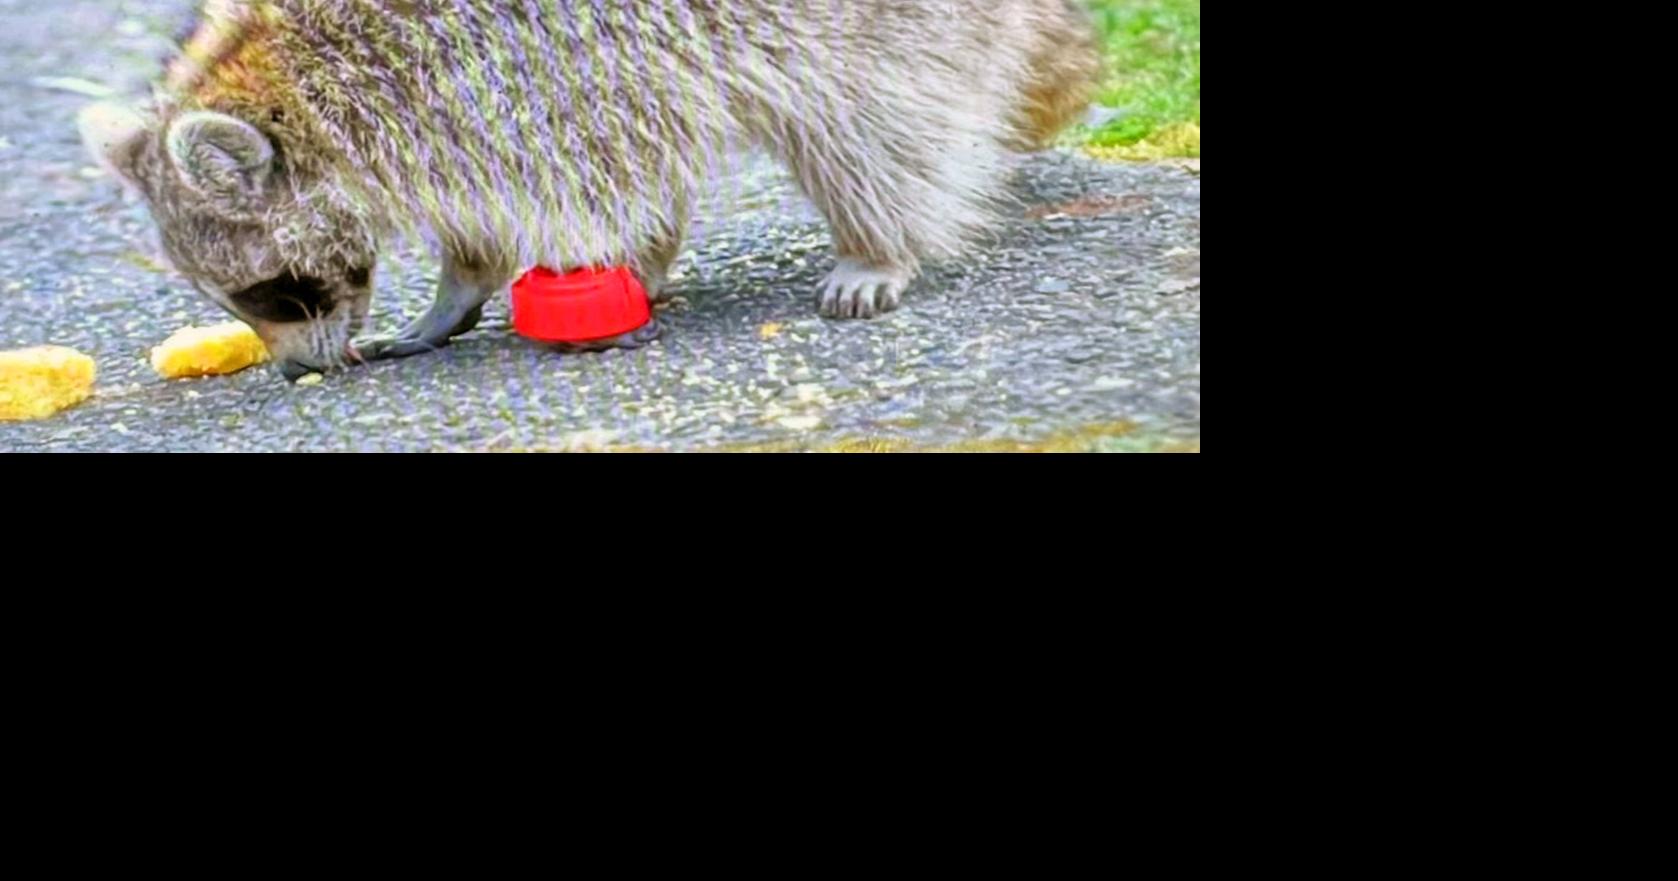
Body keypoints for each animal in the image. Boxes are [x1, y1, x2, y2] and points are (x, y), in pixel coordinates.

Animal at [79, 1, 1100, 379]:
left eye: (275, 291)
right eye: (241, 301)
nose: (295, 370)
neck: (296, 86)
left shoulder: (498, 77)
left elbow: (604, 184)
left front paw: (607, 271)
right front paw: (461, 288)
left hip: (866, 25)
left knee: (859, 121)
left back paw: (875, 241)